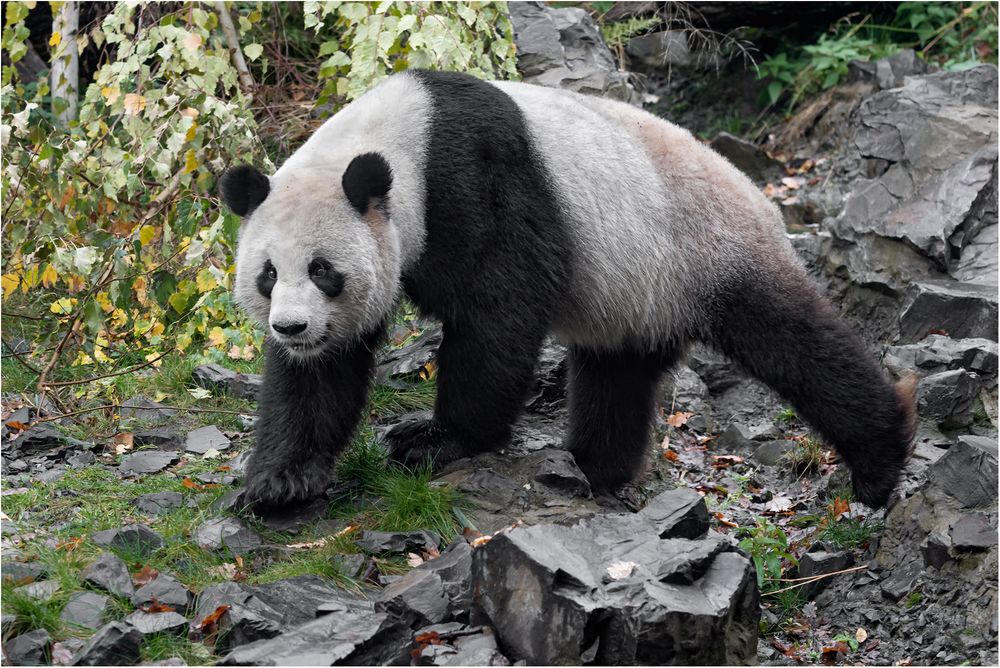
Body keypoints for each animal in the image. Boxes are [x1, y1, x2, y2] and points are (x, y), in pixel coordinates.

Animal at [219, 69, 915, 510]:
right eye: (268, 274)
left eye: (323, 270)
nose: (290, 328)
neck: (402, 135)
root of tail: (763, 199)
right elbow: (322, 376)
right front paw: (280, 482)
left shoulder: (475, 175)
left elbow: (502, 305)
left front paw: (436, 440)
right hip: (641, 291)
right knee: (617, 376)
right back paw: (594, 467)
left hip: (712, 249)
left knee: (795, 341)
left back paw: (879, 462)